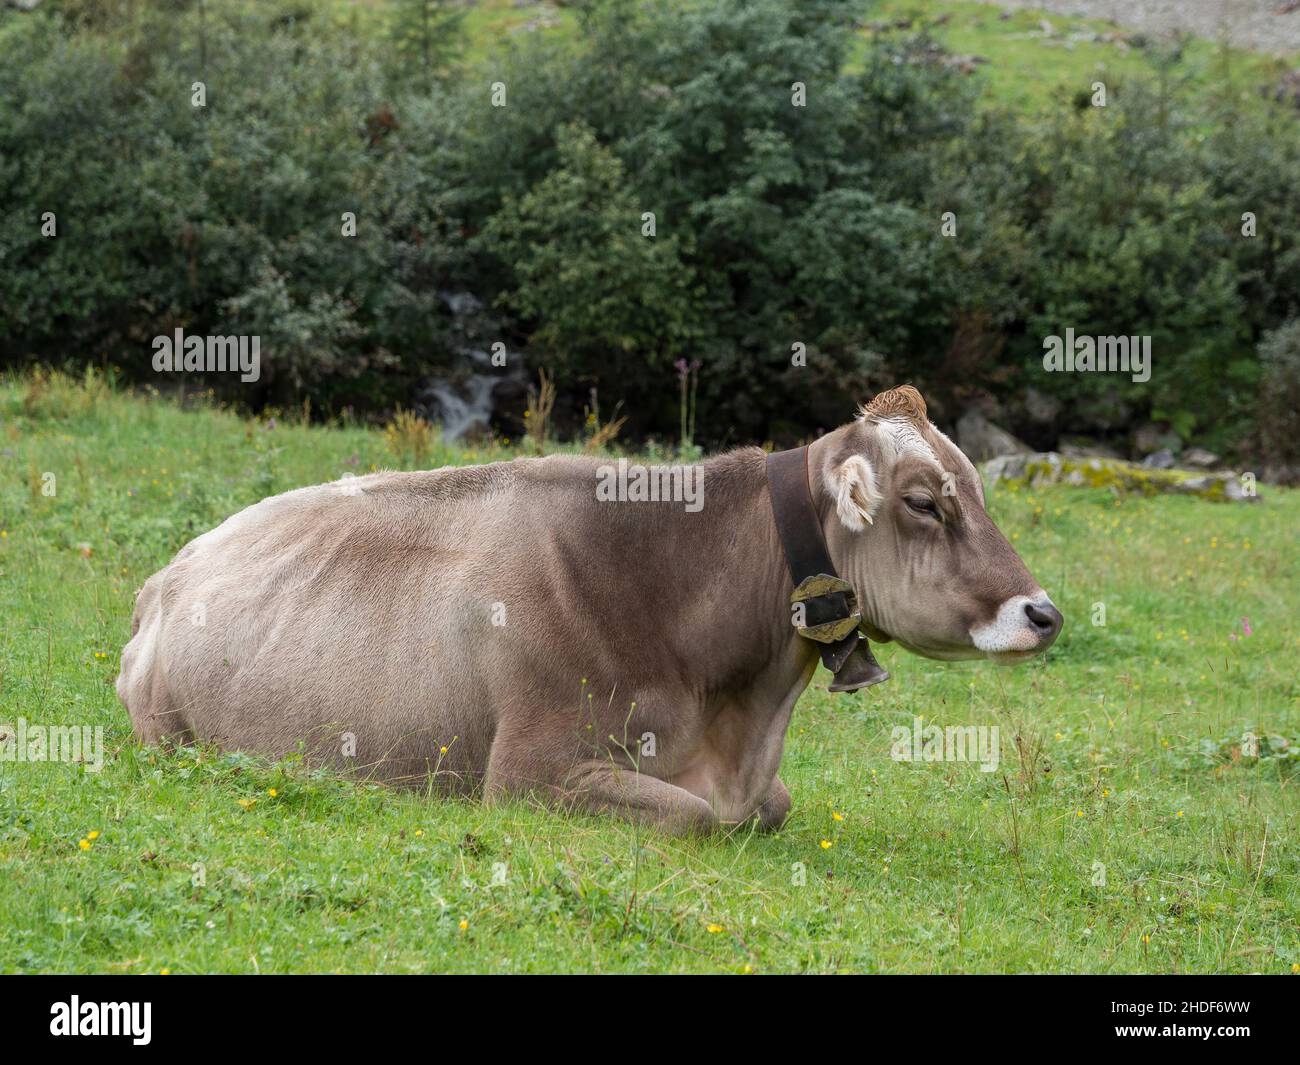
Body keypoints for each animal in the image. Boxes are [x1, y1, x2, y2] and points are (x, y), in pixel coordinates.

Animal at [117, 385, 1062, 834]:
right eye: (924, 502)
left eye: (977, 488)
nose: (1042, 612)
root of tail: (167, 574)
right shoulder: (526, 777)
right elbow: (692, 816)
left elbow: (774, 805)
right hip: (171, 734)